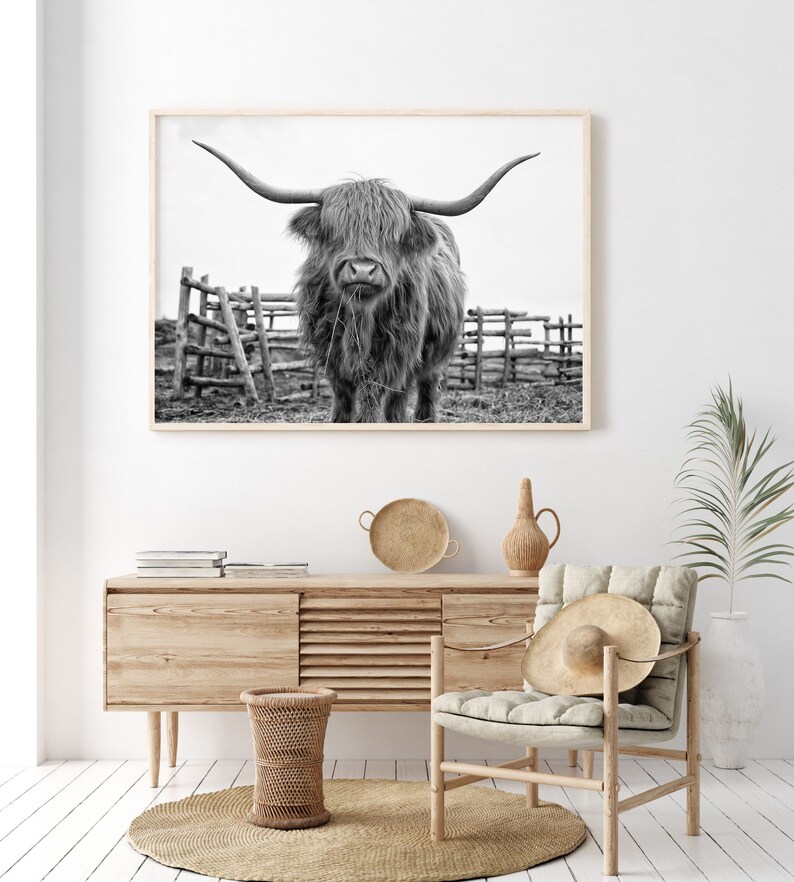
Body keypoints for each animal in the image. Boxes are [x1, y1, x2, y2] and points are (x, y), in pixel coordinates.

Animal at [195, 141, 539, 423]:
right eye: (336, 229)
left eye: (392, 233)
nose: (362, 270)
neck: (359, 317)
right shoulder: (329, 351)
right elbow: (343, 397)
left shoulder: (396, 351)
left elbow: (376, 395)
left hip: (433, 352)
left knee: (420, 388)